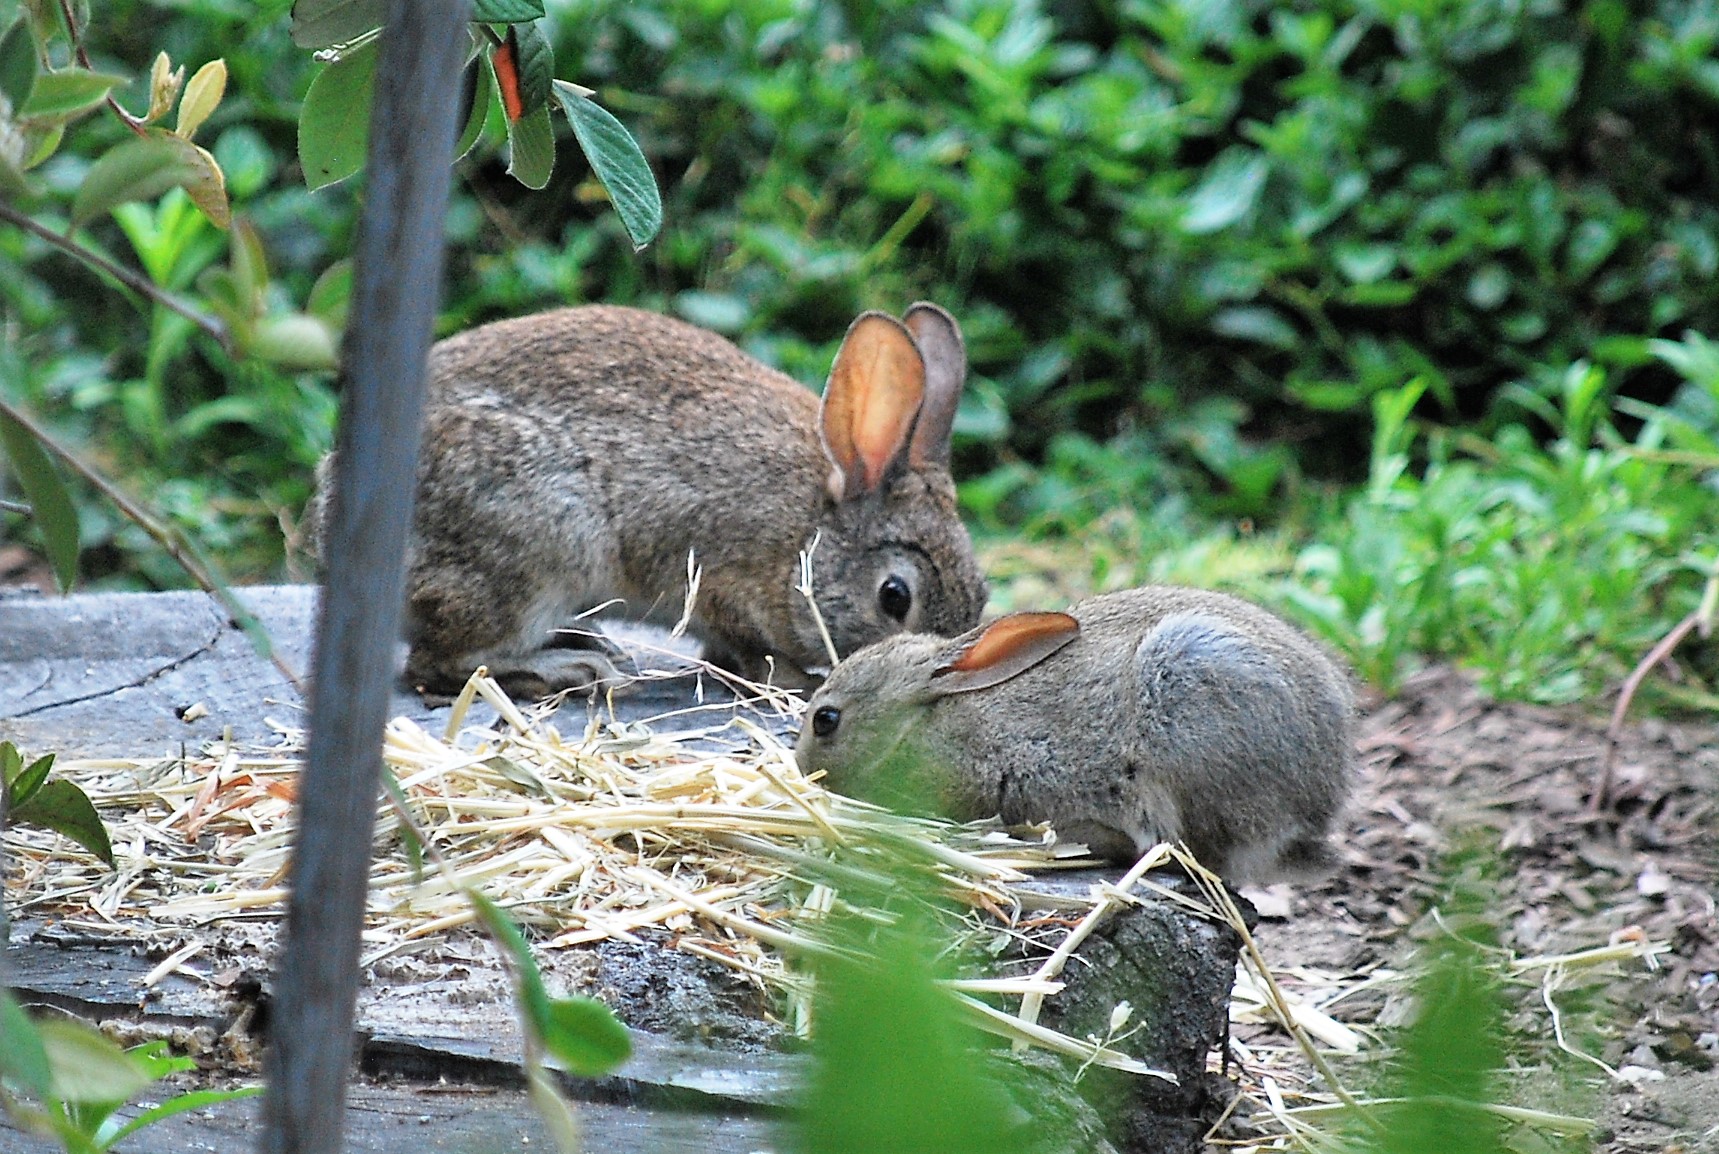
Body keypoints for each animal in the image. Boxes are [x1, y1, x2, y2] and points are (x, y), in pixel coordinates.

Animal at [308, 303, 988, 698]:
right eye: (894, 597)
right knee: (442, 662)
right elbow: (751, 651)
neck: (809, 532)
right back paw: (572, 670)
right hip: (539, 546)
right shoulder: (723, 584)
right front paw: (794, 680)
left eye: (982, 594)